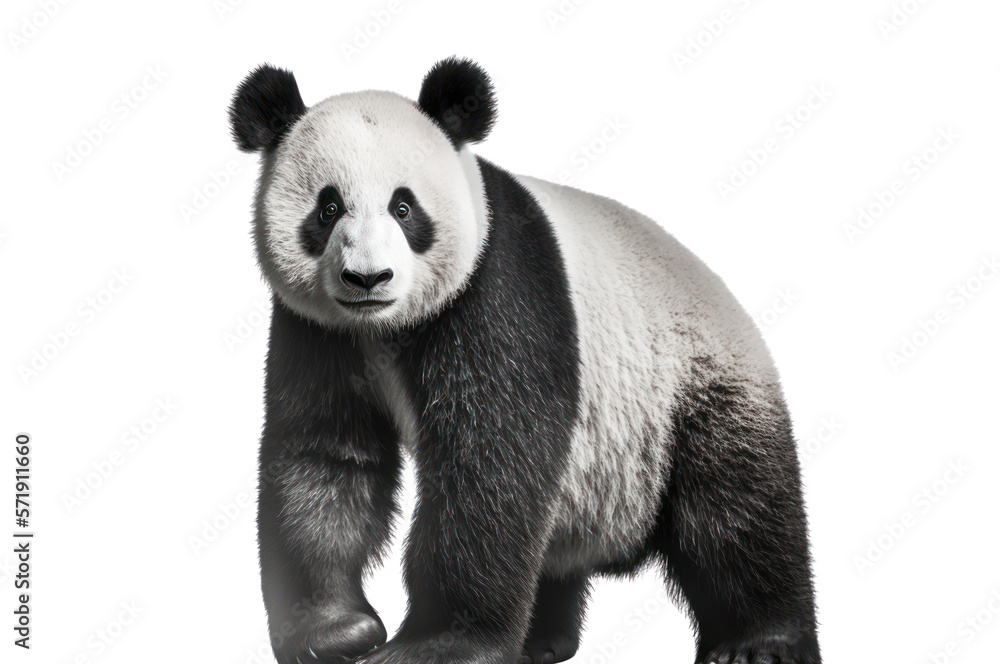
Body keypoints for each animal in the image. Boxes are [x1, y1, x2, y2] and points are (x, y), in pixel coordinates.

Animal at [230, 58, 821, 664]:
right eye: (327, 209)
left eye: (404, 207)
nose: (368, 279)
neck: (384, 327)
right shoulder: (317, 330)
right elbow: (325, 451)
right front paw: (335, 631)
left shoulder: (499, 286)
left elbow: (491, 455)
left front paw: (437, 644)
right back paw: (542, 638)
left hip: (691, 379)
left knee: (737, 508)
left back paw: (759, 642)